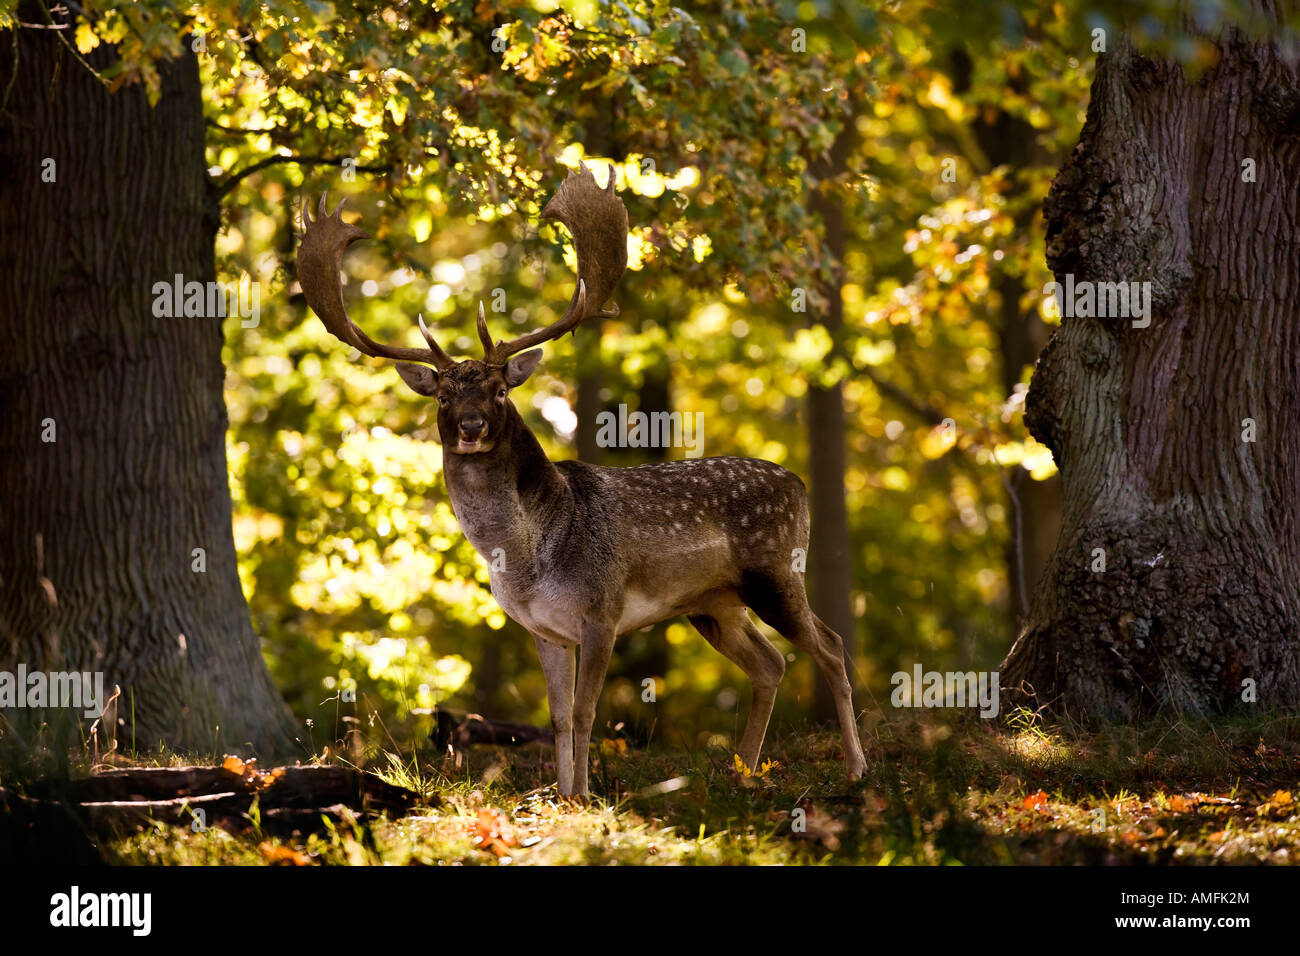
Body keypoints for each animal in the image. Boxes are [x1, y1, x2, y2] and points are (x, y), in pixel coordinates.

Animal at [296, 164, 868, 797]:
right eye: (443, 396)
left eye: (500, 389)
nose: (470, 425)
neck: (527, 558)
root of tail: (799, 483)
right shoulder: (543, 628)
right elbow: (559, 716)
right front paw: (565, 795)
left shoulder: (603, 611)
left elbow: (588, 710)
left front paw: (588, 796)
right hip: (712, 603)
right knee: (771, 662)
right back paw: (742, 775)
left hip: (776, 570)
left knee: (831, 647)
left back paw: (856, 769)